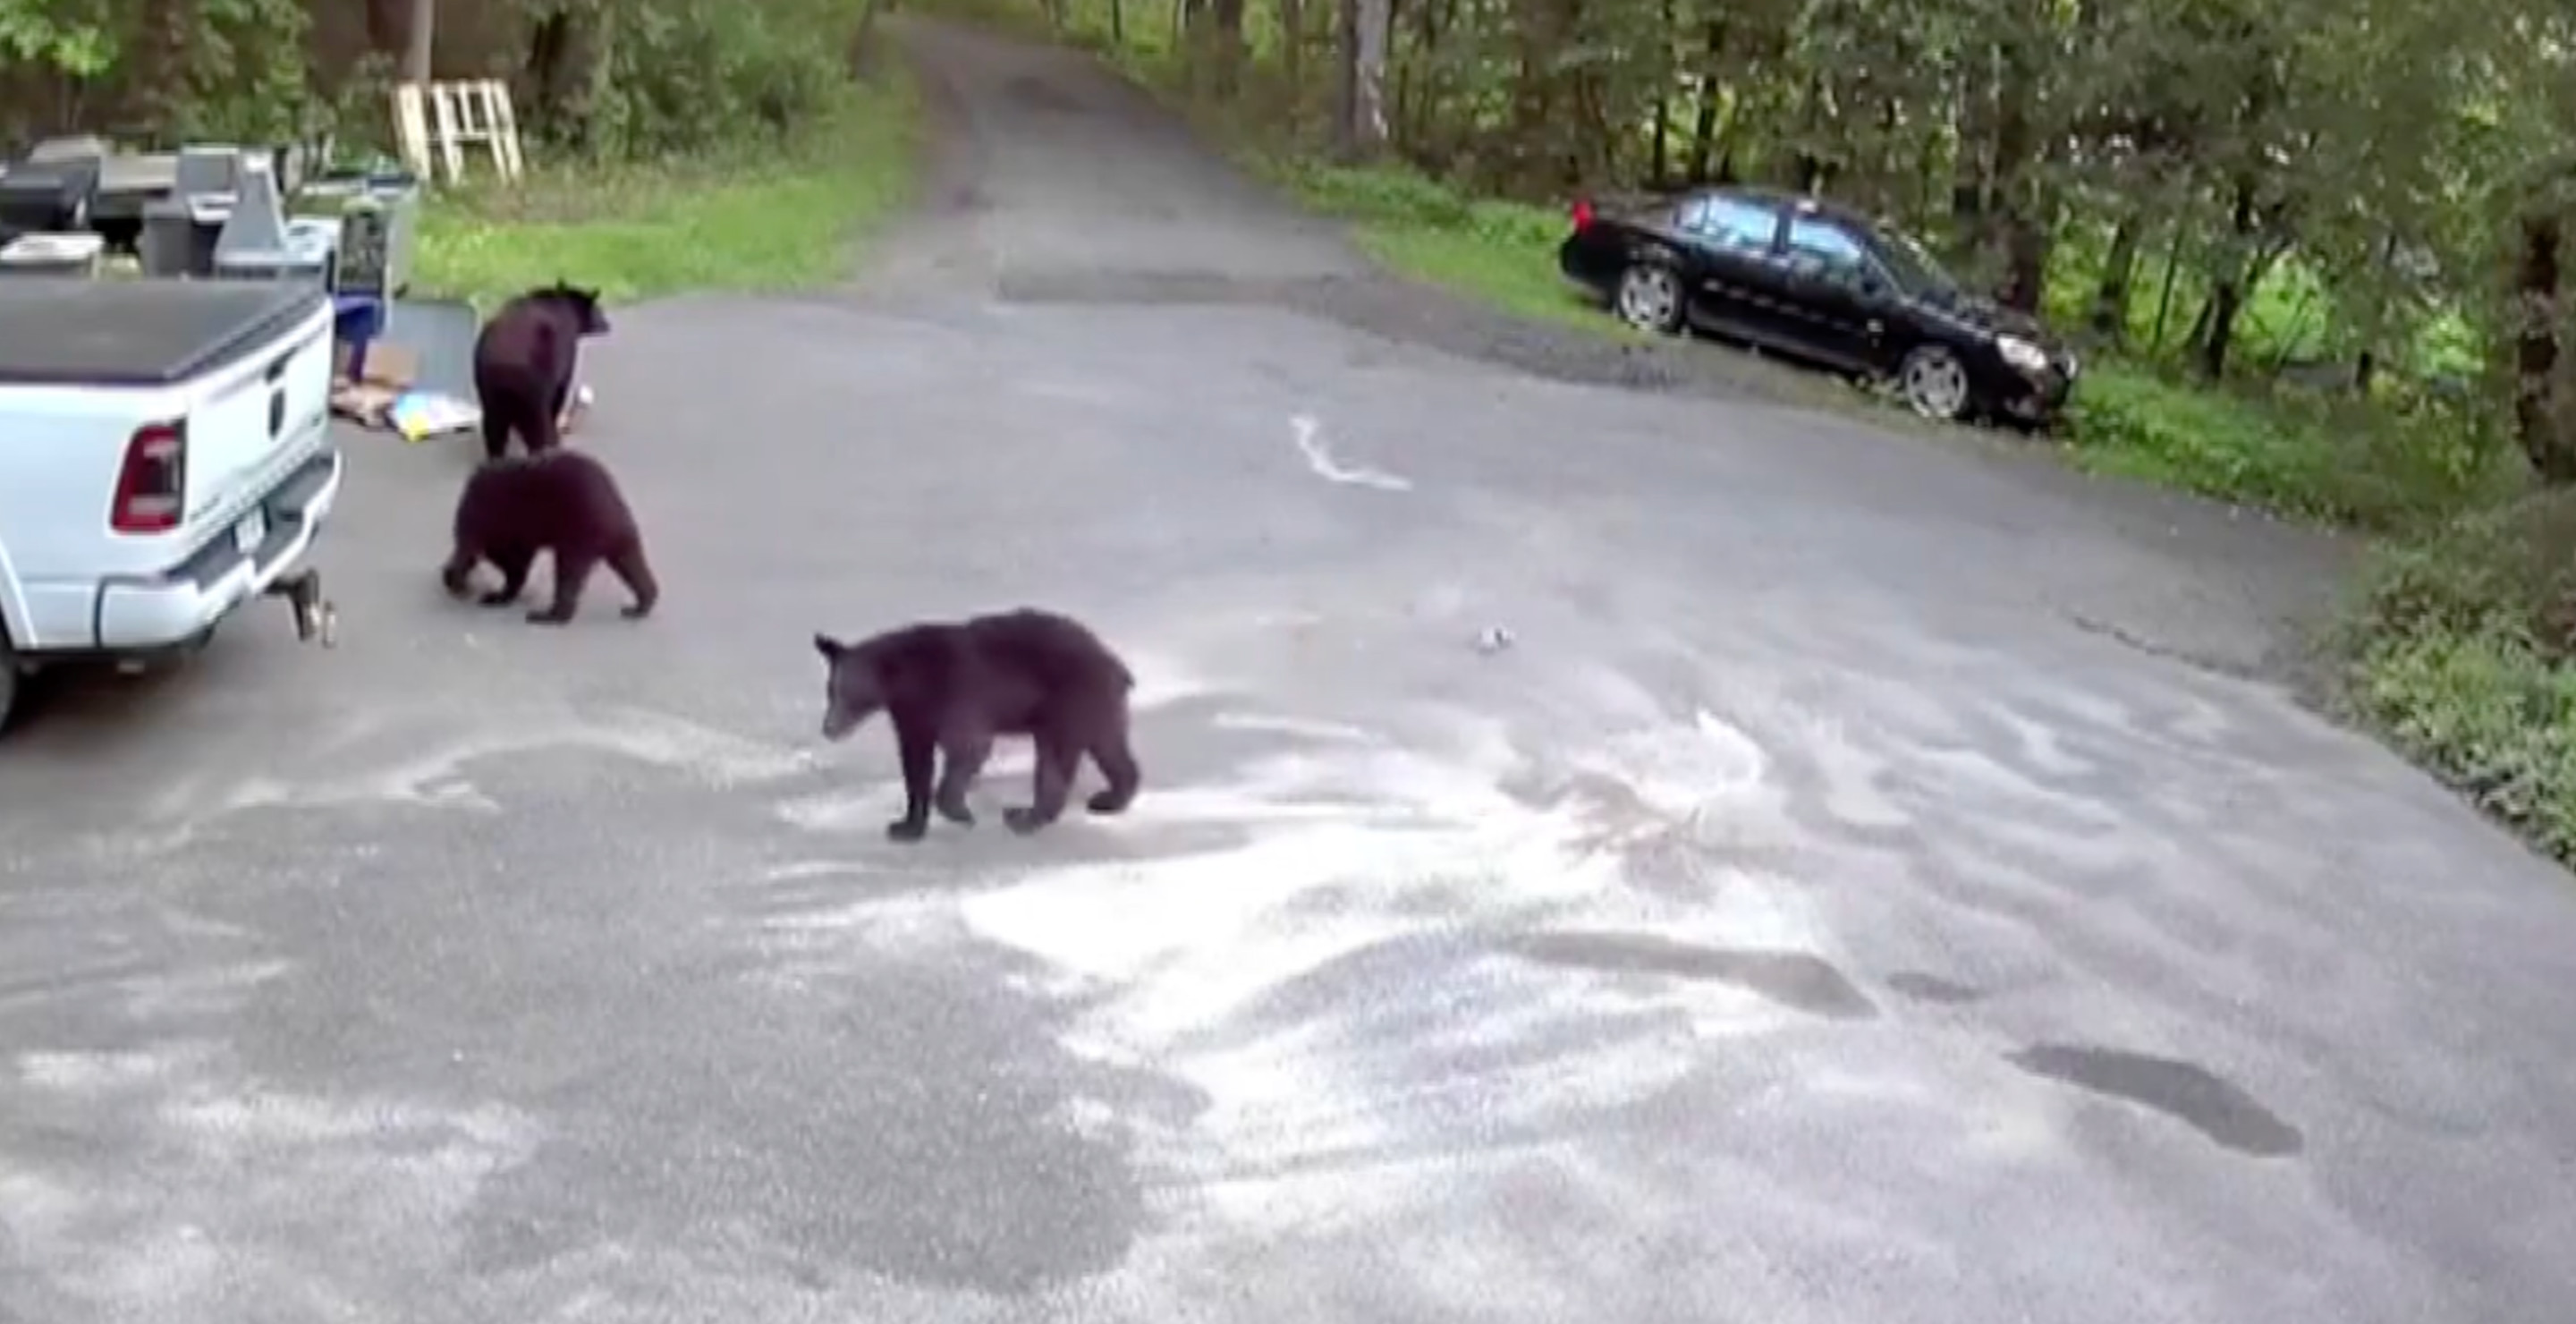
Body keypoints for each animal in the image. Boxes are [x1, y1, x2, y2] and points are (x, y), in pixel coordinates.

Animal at [440, 448, 660, 626]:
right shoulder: (517, 531)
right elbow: (517, 562)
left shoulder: (490, 516)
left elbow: (478, 549)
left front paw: (469, 584)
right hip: (618, 532)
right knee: (631, 563)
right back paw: (641, 604)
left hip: (579, 527)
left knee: (567, 572)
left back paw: (548, 615)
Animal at [470, 280, 610, 462]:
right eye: (599, 309)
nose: (608, 324)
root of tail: (504, 365)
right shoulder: (565, 353)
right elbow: (561, 389)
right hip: (534, 385)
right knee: (538, 424)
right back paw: (547, 448)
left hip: (488, 390)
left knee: (493, 428)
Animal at [811, 608, 1143, 841]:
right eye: (830, 690)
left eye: (844, 692)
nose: (828, 728)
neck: (907, 681)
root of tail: (1116, 665)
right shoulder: (911, 716)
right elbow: (916, 764)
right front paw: (905, 826)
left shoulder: (953, 695)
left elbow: (969, 747)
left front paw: (960, 812)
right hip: (1088, 709)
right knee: (1109, 748)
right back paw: (1107, 798)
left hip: (1069, 701)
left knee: (1056, 762)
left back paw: (1027, 817)